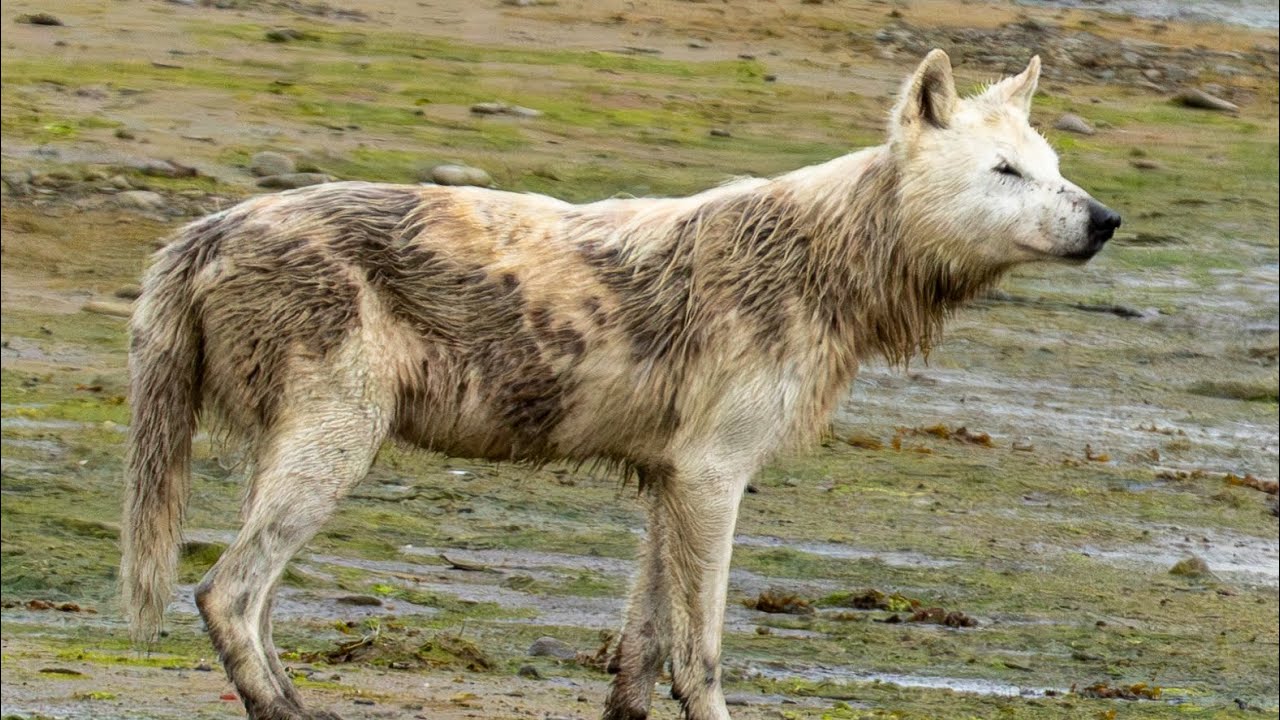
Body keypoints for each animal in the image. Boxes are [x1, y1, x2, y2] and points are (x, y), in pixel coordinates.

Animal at [120, 49, 1119, 720]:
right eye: (1006, 172)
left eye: (1056, 170)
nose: (1107, 220)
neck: (823, 262)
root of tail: (205, 228)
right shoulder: (714, 479)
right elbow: (700, 653)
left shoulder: (669, 481)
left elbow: (640, 652)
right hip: (333, 454)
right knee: (224, 595)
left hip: (302, 459)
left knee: (246, 601)